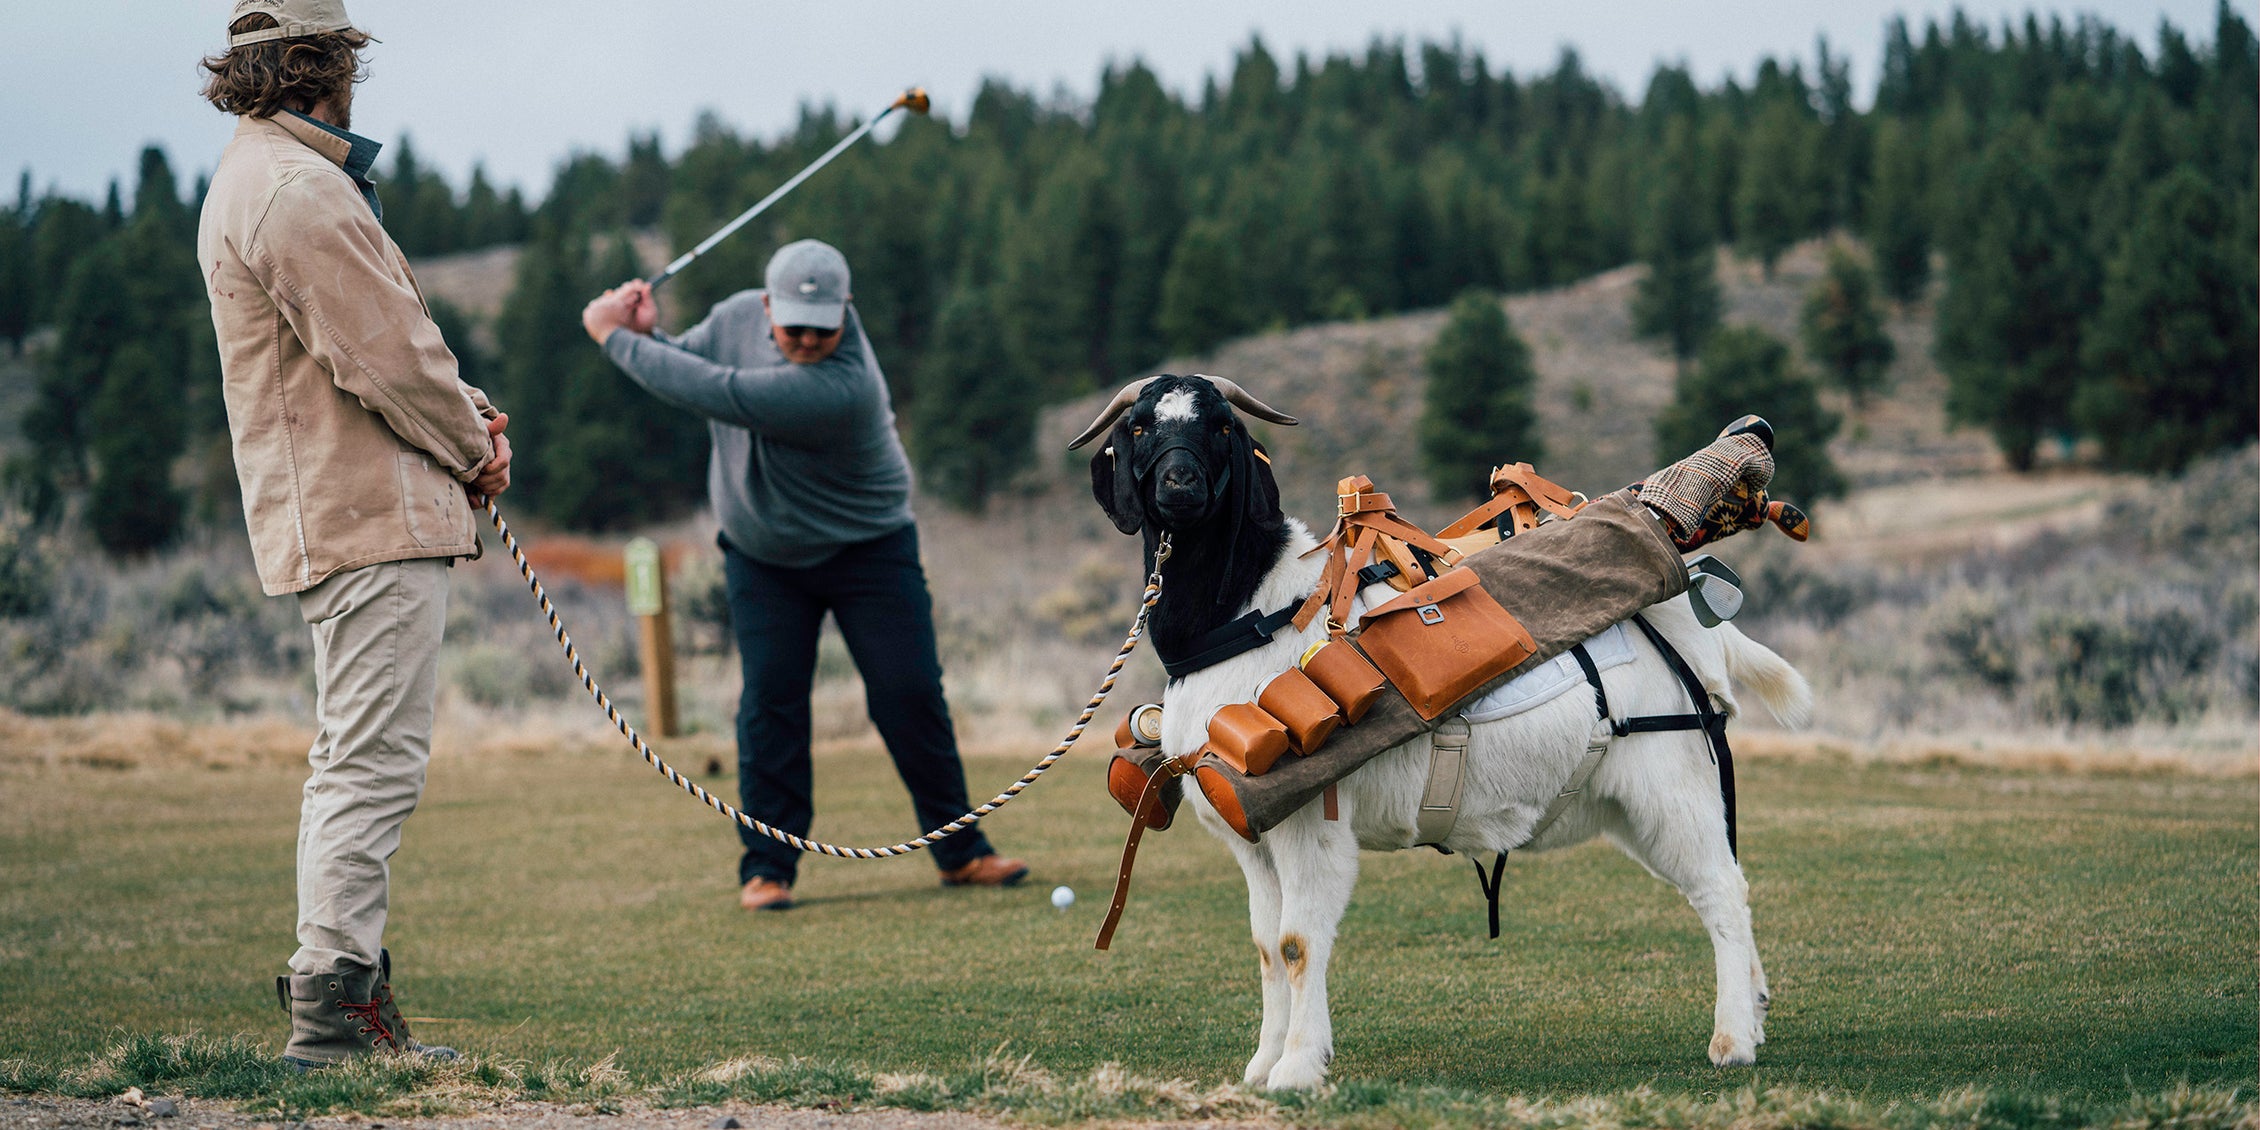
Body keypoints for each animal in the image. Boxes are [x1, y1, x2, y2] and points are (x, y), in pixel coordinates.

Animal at [1076, 374, 1812, 1088]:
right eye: (1139, 426)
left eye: (1221, 426)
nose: (1180, 485)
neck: (1252, 615)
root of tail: (1694, 626)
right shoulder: (1250, 839)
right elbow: (1264, 947)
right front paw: (1260, 1066)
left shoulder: (1311, 824)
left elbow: (1297, 943)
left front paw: (1297, 1069)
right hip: (1629, 805)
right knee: (1726, 883)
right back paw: (1757, 1010)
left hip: (1671, 782)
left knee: (1721, 892)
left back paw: (1732, 1041)